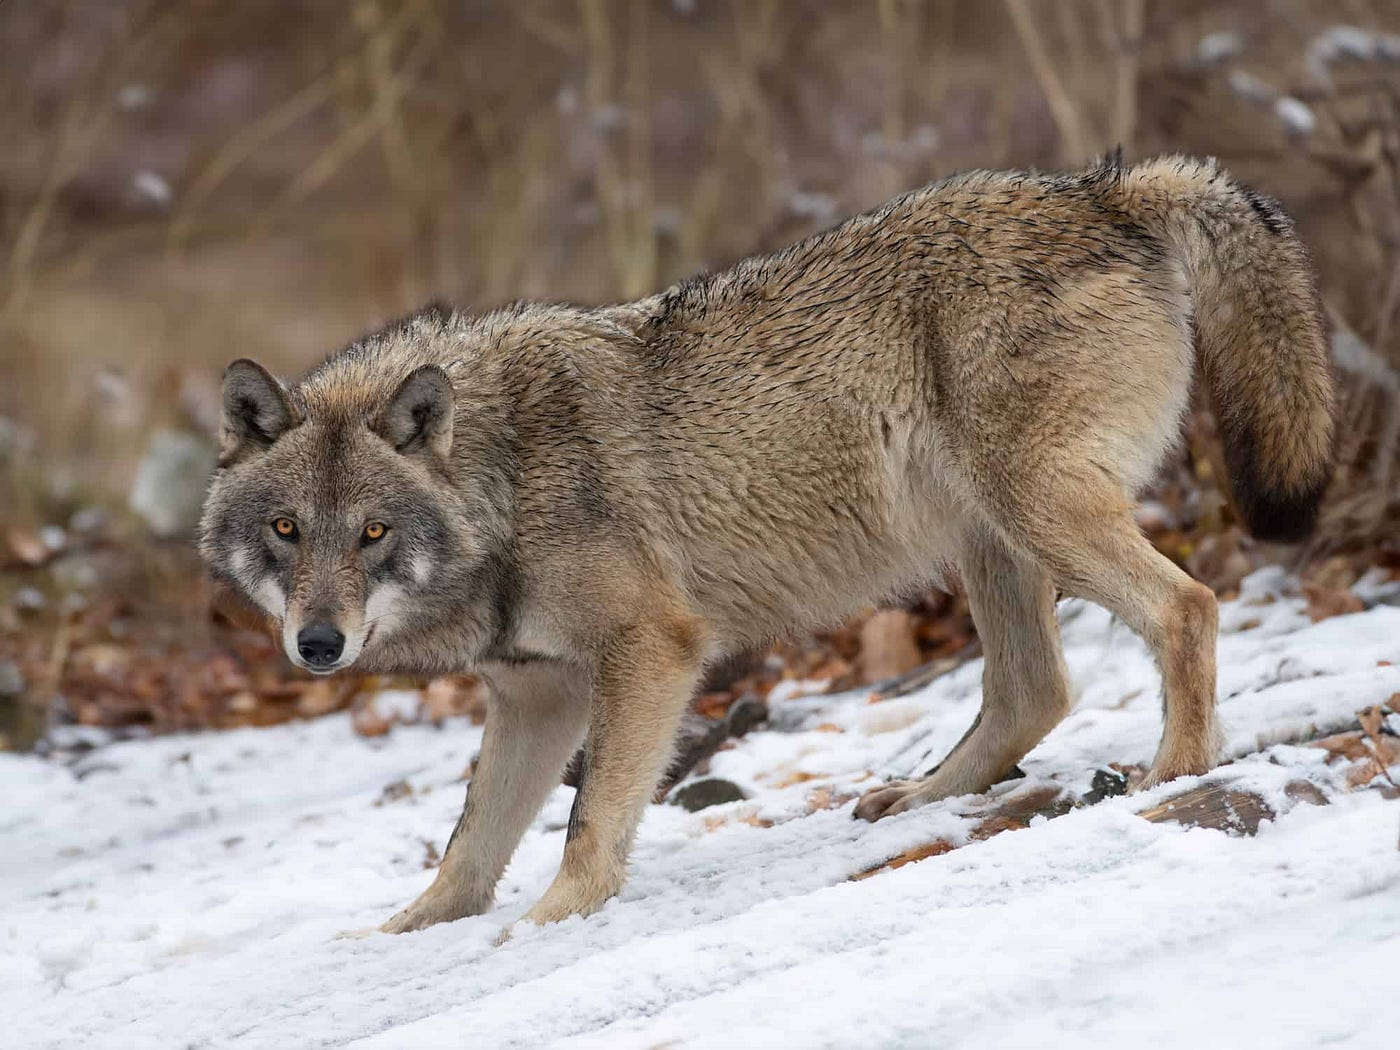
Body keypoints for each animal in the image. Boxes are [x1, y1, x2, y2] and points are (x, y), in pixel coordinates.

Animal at [199, 154, 1334, 934]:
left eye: (374, 533)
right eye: (288, 531)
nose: (316, 646)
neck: (502, 478)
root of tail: (1109, 191)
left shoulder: (649, 653)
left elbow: (588, 819)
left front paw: (554, 923)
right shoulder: (534, 693)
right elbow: (466, 848)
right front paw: (402, 938)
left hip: (1037, 517)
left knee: (1186, 607)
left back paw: (1173, 778)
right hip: (991, 539)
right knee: (1033, 692)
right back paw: (920, 798)